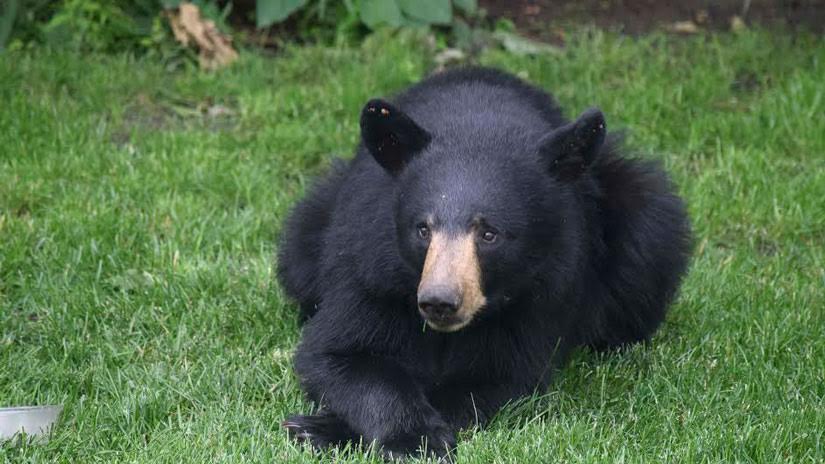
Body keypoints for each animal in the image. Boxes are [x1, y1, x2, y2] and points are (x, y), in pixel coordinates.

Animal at [277, 67, 692, 458]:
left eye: (489, 233)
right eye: (423, 228)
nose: (440, 302)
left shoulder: (541, 293)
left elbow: (498, 377)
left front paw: (372, 433)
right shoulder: (370, 266)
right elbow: (340, 354)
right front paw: (368, 432)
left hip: (640, 218)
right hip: (311, 227)